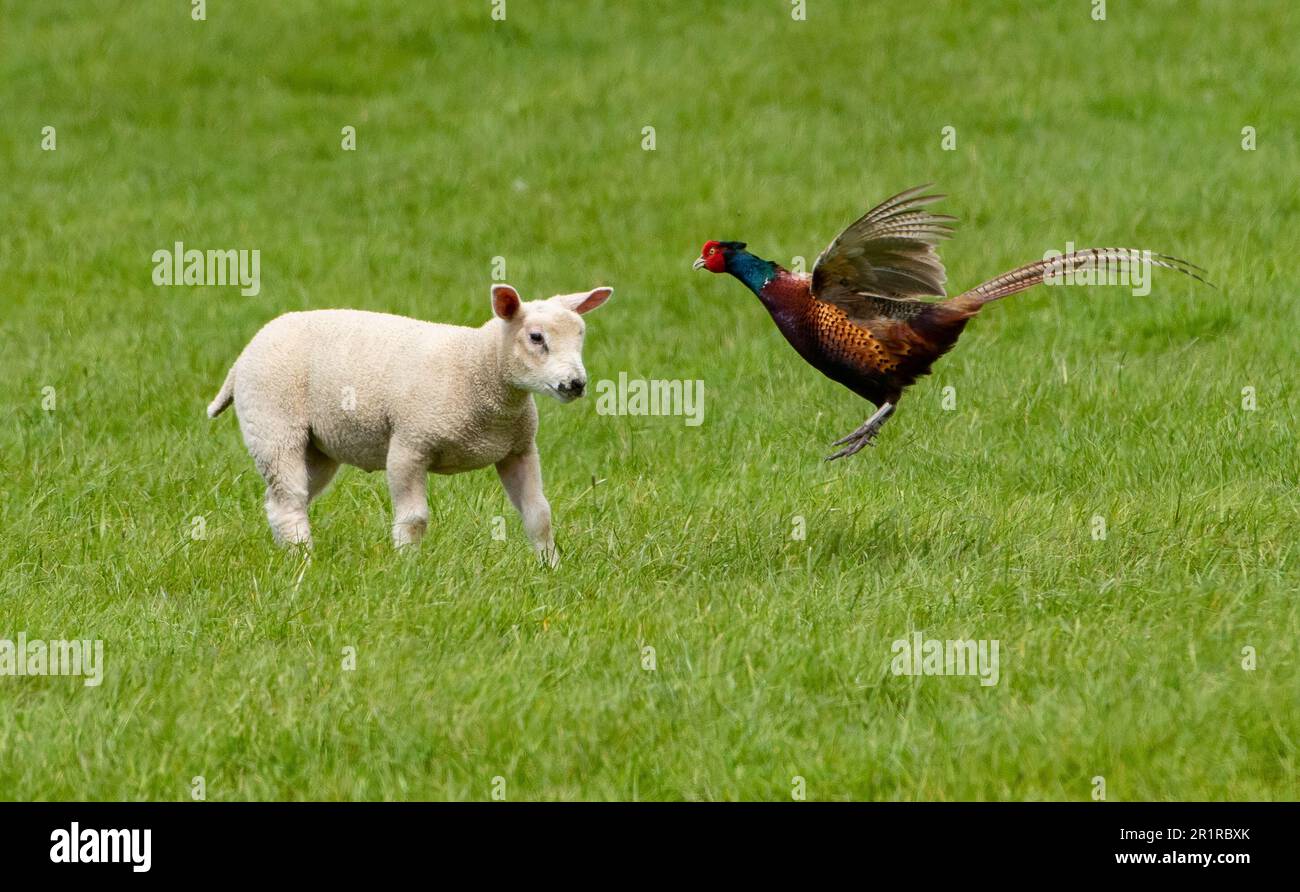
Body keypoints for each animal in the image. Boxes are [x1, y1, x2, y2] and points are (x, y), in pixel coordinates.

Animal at [206, 284, 612, 565]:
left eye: (580, 335)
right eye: (536, 337)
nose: (576, 384)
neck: (477, 367)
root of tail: (243, 356)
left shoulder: (518, 450)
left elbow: (539, 514)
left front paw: (550, 566)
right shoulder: (409, 443)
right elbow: (414, 519)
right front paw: (408, 568)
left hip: (318, 447)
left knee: (283, 500)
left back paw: (291, 554)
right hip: (274, 425)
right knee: (288, 499)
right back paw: (304, 561)